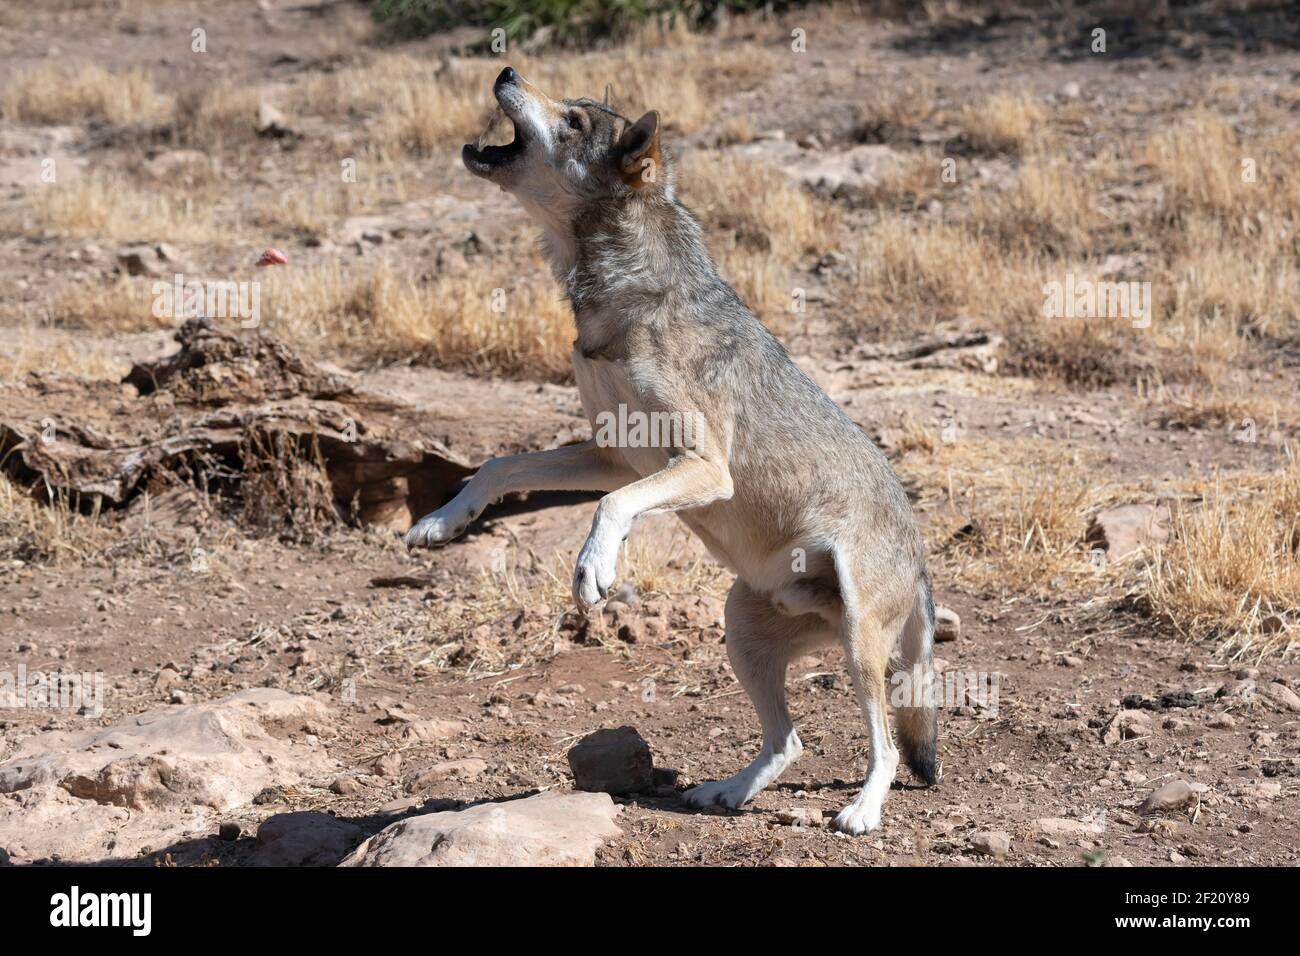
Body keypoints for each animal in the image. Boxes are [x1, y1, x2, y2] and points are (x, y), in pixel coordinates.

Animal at [406, 67, 937, 833]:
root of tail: (922, 560)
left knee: (886, 744)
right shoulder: (614, 453)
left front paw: (594, 568)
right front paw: (440, 522)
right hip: (742, 628)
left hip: (861, 643)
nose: (505, 72)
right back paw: (727, 793)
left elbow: (611, 508)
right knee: (791, 742)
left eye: (573, 121)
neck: (616, 289)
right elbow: (501, 465)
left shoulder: (696, 467)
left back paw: (862, 810)